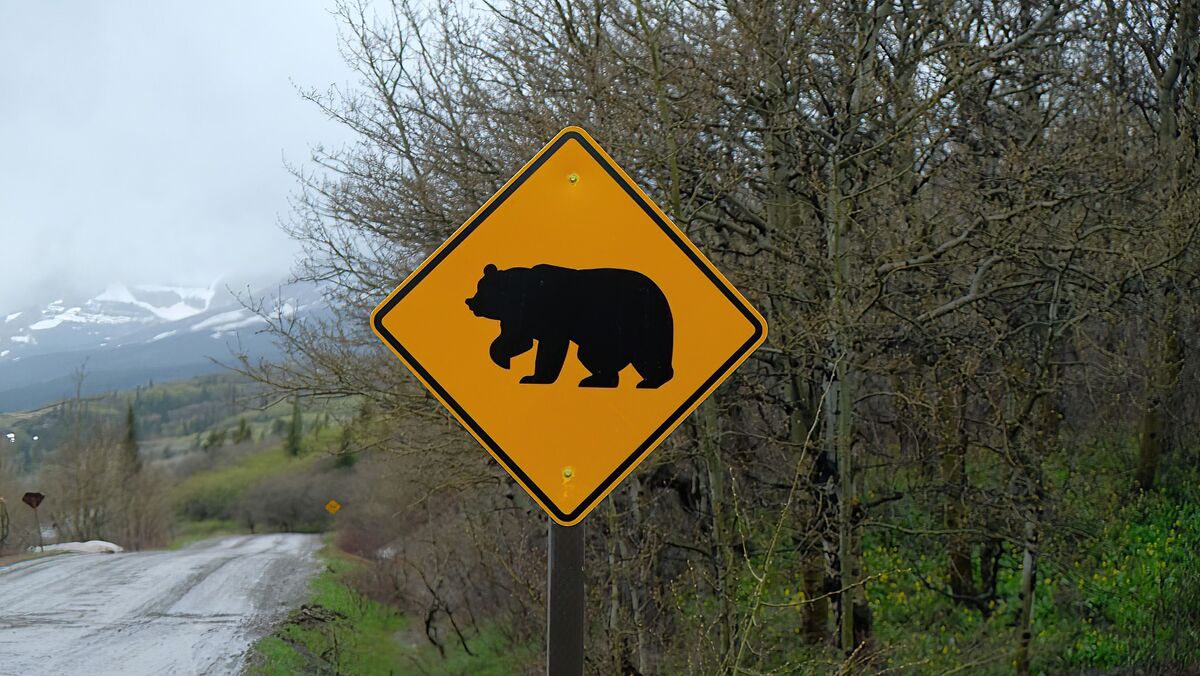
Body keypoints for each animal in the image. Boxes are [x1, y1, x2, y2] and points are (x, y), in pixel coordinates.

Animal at [465, 263, 674, 388]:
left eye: (481, 289)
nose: (470, 301)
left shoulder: (549, 318)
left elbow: (548, 348)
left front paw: (535, 377)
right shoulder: (519, 319)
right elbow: (517, 339)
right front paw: (504, 360)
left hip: (639, 321)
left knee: (650, 353)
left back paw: (651, 381)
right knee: (595, 357)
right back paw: (596, 380)